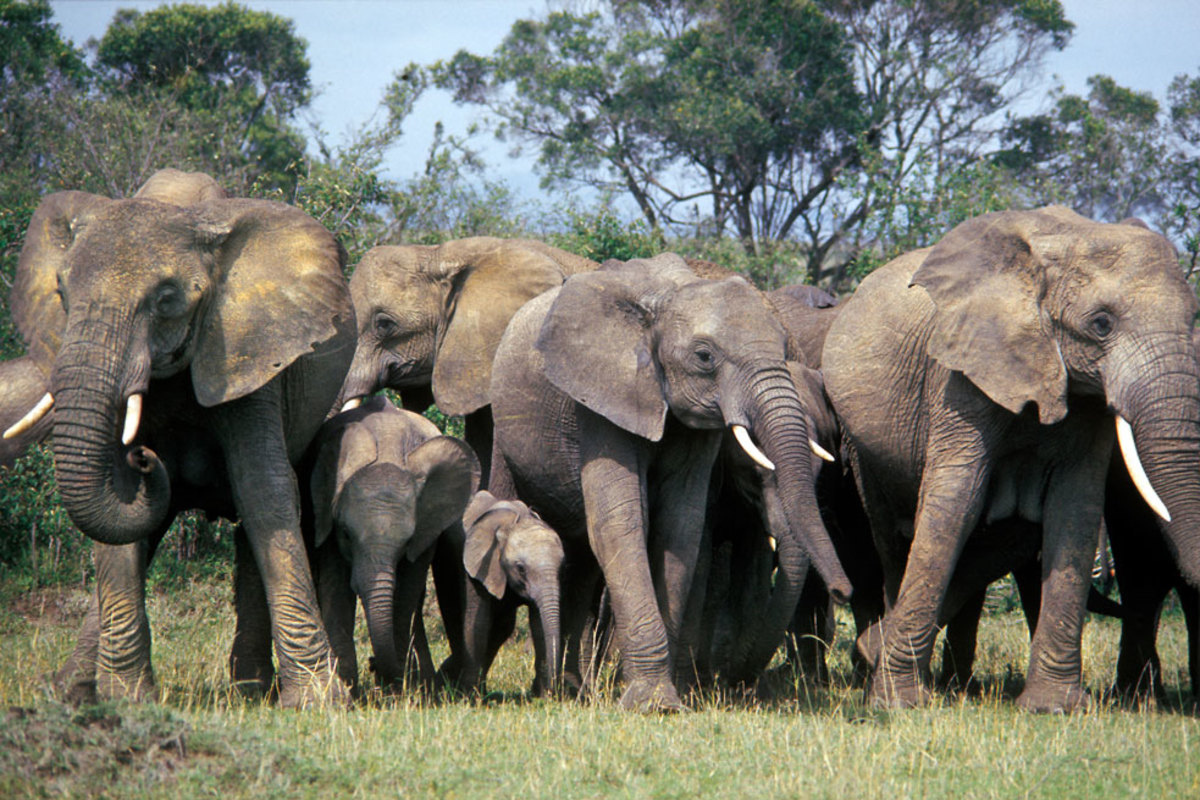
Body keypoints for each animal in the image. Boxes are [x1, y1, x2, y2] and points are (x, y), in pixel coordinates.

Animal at [8, 168, 356, 708]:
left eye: (167, 299)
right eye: (61, 294)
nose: (143, 457)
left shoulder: (246, 354)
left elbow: (265, 493)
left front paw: (318, 704)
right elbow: (118, 515)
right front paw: (128, 700)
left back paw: (252, 692)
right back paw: (72, 691)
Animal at [306, 395, 479, 693]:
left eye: (407, 541)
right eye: (346, 534)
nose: (373, 664)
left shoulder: (425, 530)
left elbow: (407, 589)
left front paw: (396, 690)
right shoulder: (328, 521)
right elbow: (336, 588)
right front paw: (347, 687)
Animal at [459, 490, 565, 695]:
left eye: (561, 568)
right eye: (521, 568)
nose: (555, 689)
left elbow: (538, 625)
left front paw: (543, 697)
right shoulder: (478, 564)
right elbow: (479, 622)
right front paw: (470, 696)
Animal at [486, 253, 852, 711]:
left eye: (784, 350)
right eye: (704, 356)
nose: (843, 592)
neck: (665, 299)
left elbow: (681, 526)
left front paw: (666, 698)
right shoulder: (599, 400)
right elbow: (622, 521)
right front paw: (652, 705)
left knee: (582, 562)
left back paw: (573, 690)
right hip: (504, 437)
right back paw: (554, 692)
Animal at [822, 205, 1200, 712]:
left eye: (1194, 317)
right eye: (1101, 323)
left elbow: (1074, 510)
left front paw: (1054, 708)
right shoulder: (960, 374)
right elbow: (954, 506)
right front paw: (897, 704)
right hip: (864, 448)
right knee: (893, 540)